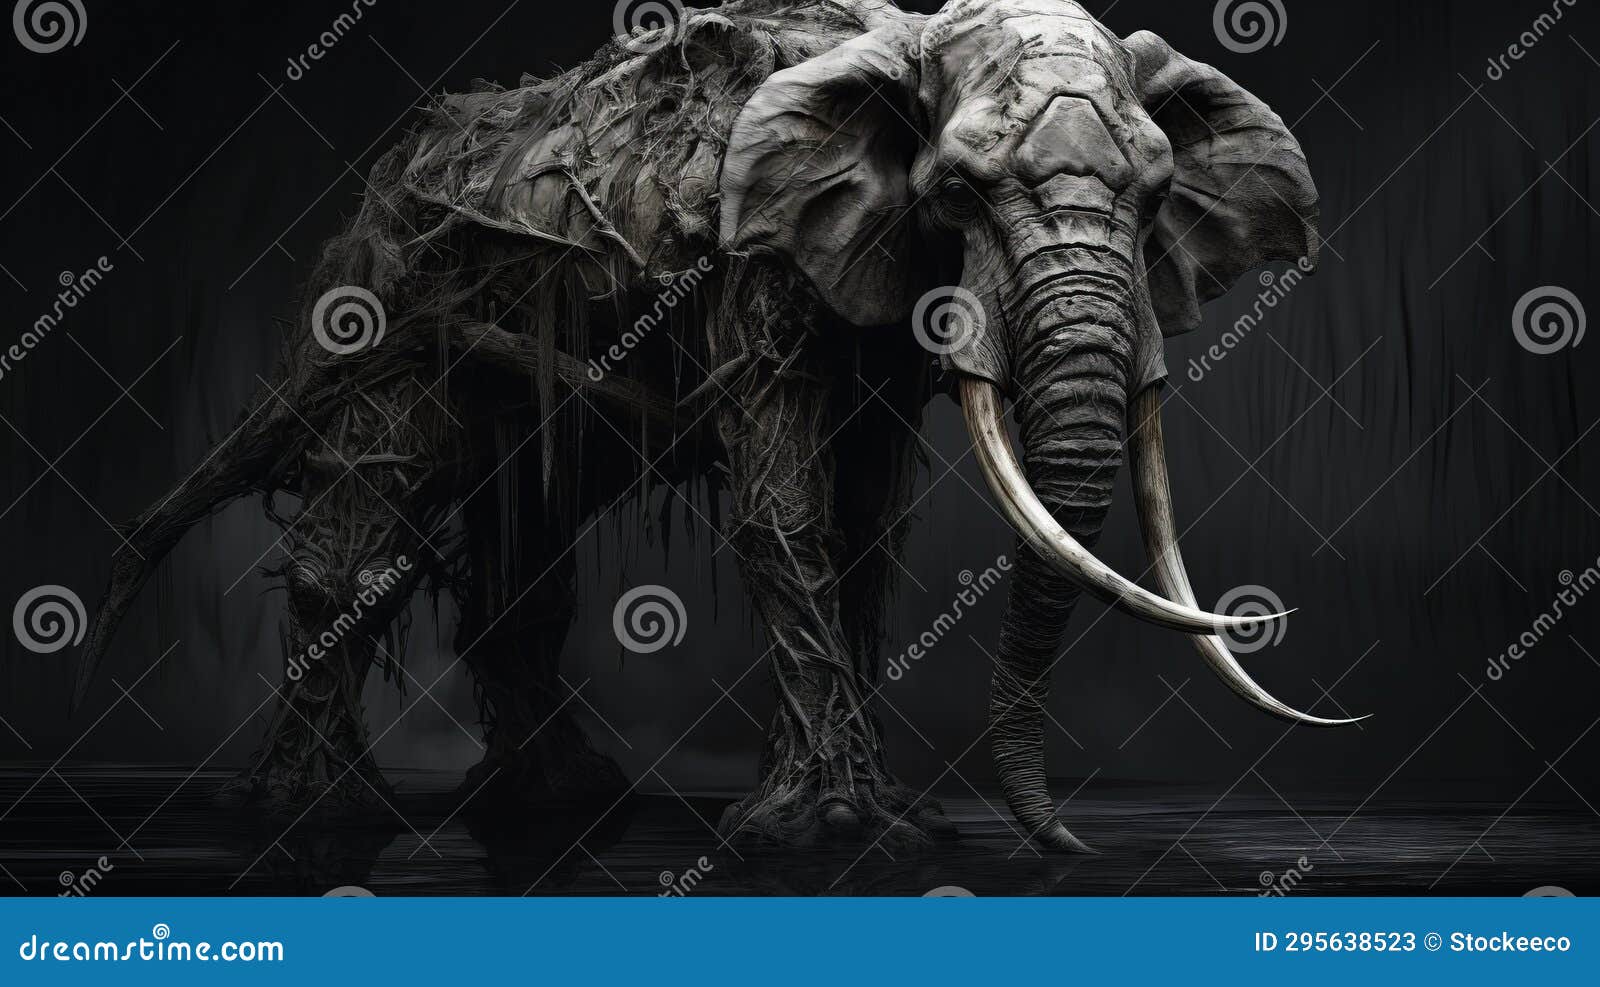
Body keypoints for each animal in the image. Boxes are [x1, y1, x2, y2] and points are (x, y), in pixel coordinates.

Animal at [73, 0, 1362, 852]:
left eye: (1156, 199)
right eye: (955, 192)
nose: (1066, 847)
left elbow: (868, 518)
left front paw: (877, 818)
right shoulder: (760, 259)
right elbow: (785, 504)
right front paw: (823, 826)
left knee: (525, 549)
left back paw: (558, 797)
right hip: (400, 304)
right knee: (361, 518)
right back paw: (318, 811)